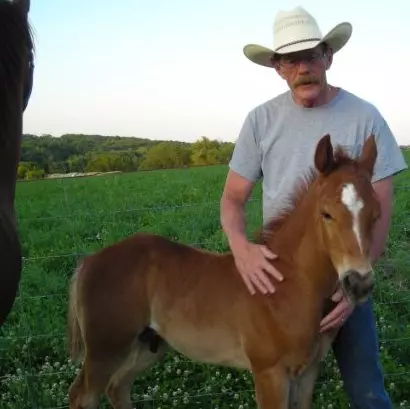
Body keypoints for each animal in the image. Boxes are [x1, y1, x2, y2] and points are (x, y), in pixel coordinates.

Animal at [66, 135, 382, 408]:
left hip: (146, 344)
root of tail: (89, 260)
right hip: (106, 349)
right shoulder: (269, 373)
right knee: (82, 395)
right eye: (326, 214)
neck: (288, 286)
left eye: (377, 214)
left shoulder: (307, 372)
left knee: (117, 387)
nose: (358, 282)